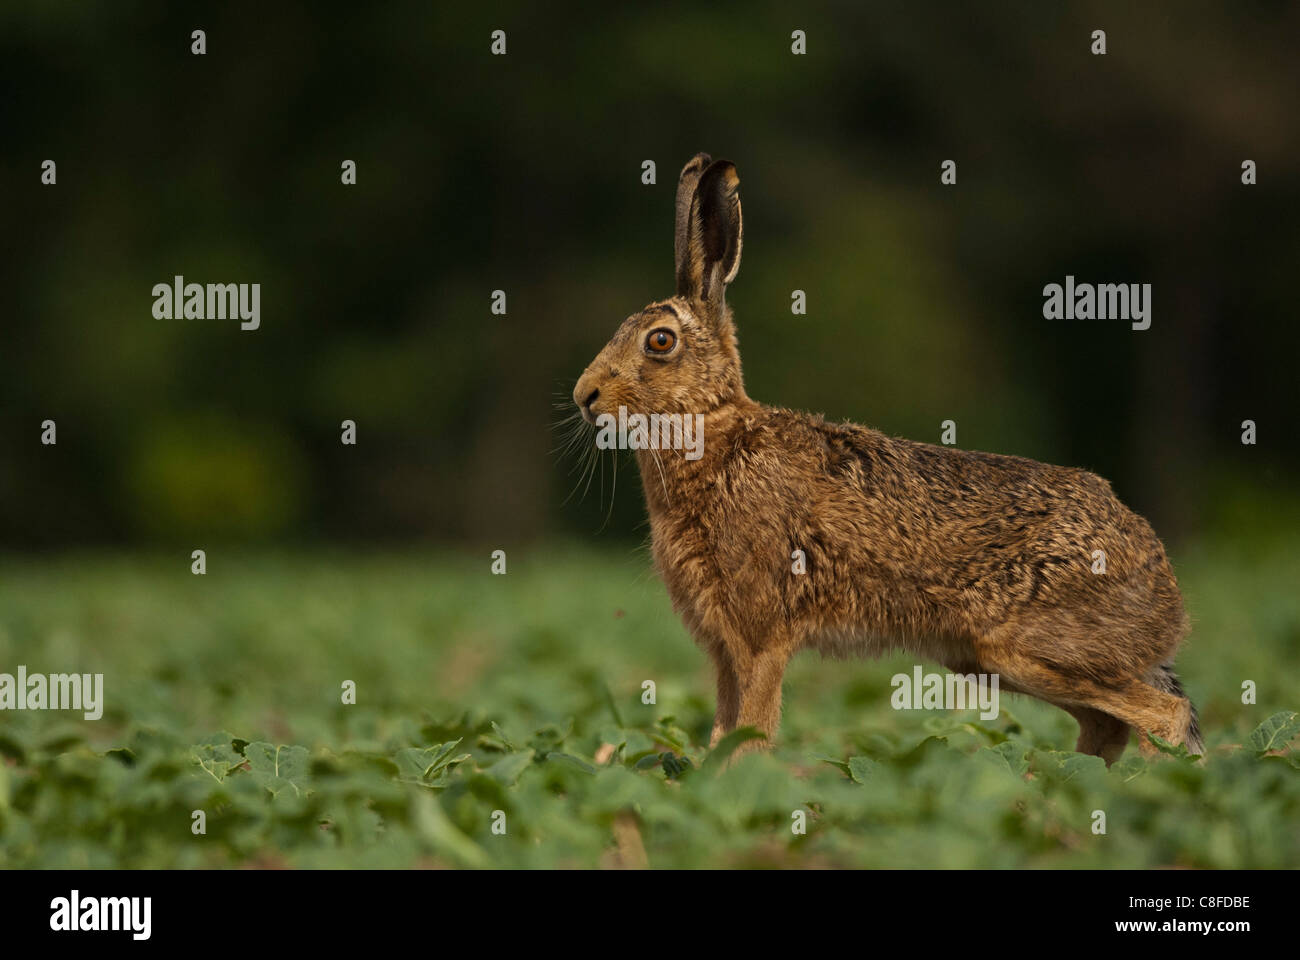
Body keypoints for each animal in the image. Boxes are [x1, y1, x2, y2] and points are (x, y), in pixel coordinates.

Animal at [573, 153, 1203, 765]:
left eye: (659, 341)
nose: (585, 395)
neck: (712, 428)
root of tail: (1162, 579)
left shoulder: (759, 637)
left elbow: (750, 730)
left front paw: (739, 780)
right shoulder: (726, 647)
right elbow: (723, 730)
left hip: (1029, 648)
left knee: (1162, 717)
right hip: (992, 661)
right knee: (1108, 726)